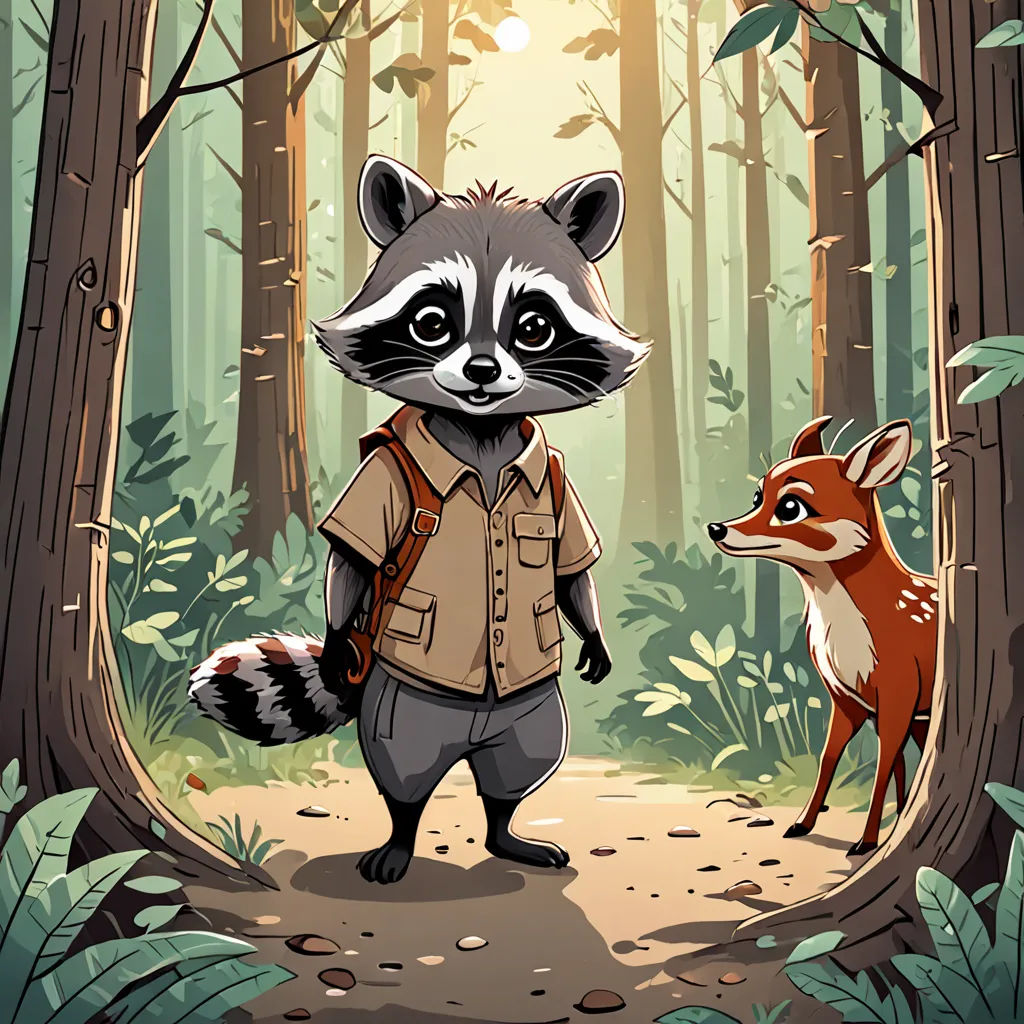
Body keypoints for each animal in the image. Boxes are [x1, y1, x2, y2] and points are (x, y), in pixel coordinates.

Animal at [190, 155, 646, 883]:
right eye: (432, 321)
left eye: (534, 327)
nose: (483, 370)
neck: (479, 437)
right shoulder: (381, 478)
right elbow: (353, 559)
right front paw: (340, 634)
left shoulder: (554, 481)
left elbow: (569, 572)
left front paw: (595, 637)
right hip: (408, 704)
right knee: (403, 761)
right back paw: (402, 832)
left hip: (527, 709)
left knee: (527, 752)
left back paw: (505, 828)